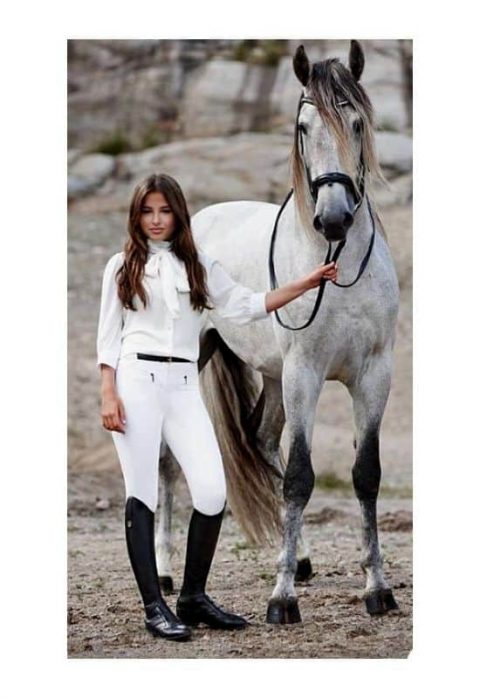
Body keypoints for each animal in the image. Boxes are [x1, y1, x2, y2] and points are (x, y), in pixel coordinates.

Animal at [155, 40, 401, 622]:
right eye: (303, 127)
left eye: (357, 123)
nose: (333, 218)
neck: (336, 268)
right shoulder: (305, 373)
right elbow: (300, 477)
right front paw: (281, 598)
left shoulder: (374, 374)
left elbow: (365, 473)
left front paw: (377, 589)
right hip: (208, 365)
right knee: (169, 462)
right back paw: (165, 568)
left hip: (271, 376)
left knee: (262, 440)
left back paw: (304, 561)